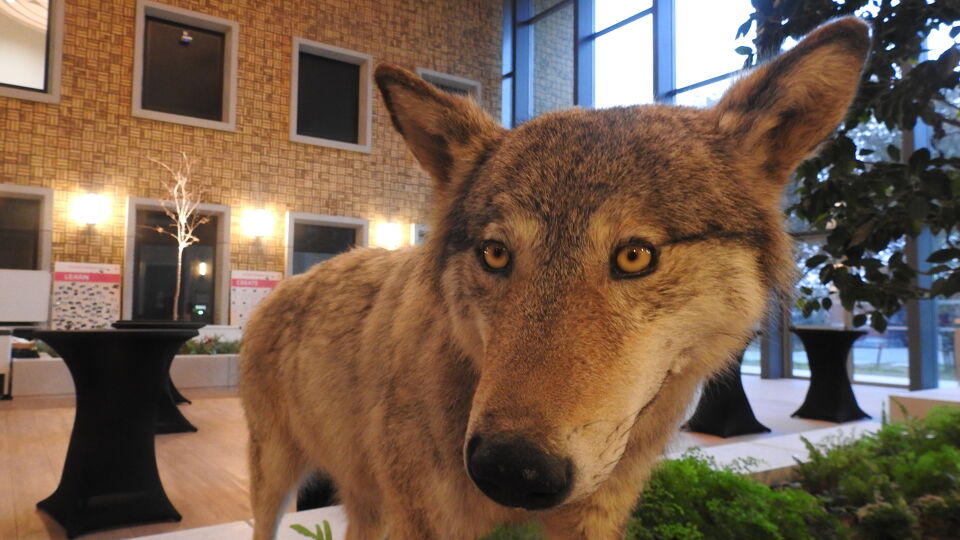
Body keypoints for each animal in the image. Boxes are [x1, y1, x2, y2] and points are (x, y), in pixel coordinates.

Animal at [240, 17, 869, 540]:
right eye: (496, 254)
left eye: (635, 256)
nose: (511, 469)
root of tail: (293, 283)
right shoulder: (423, 523)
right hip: (277, 477)